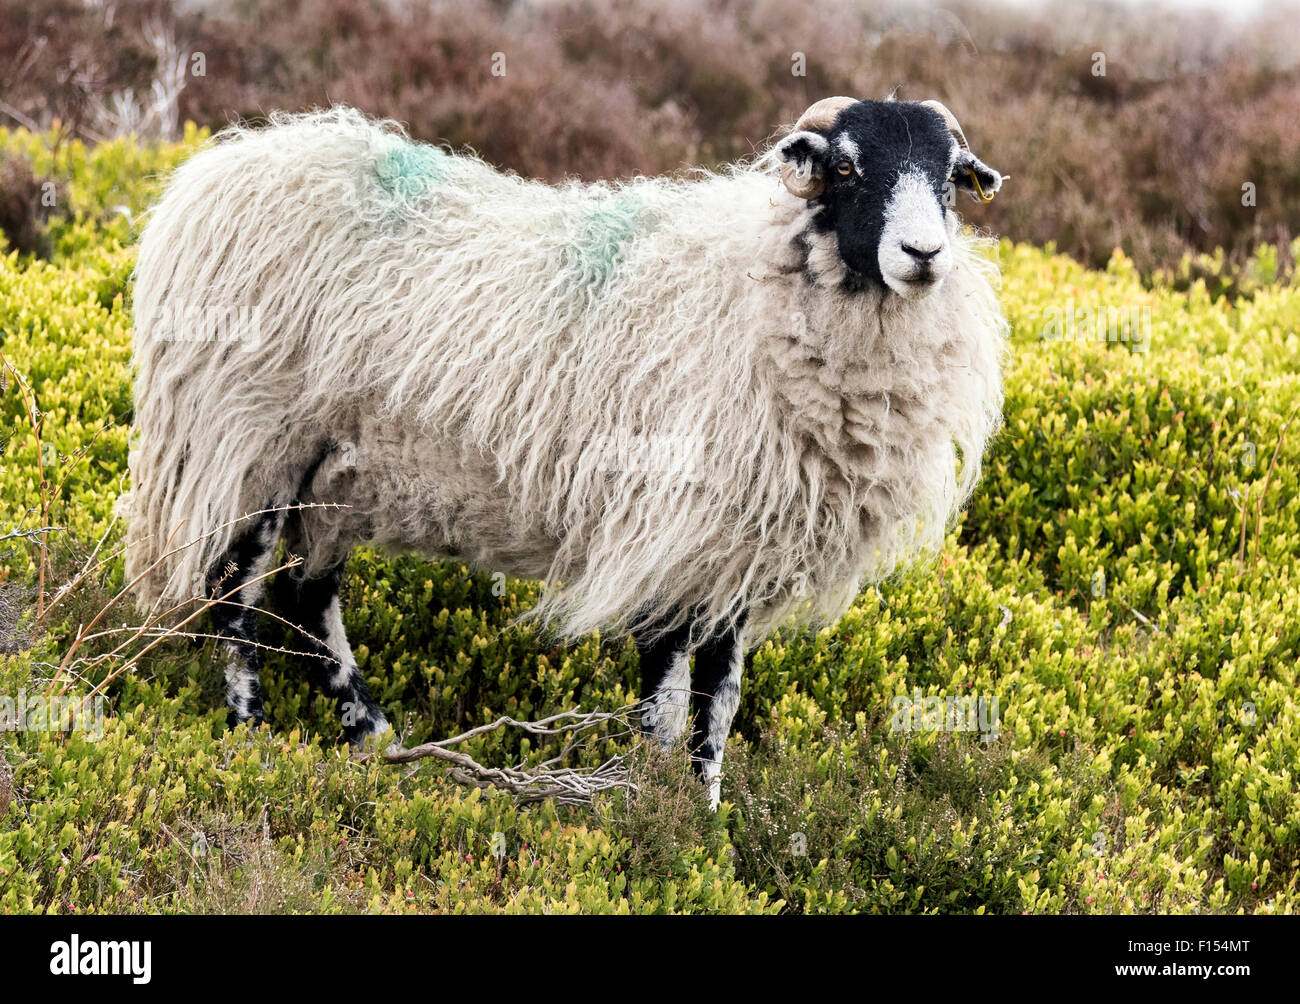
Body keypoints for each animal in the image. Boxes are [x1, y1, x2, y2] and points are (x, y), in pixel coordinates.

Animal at [125, 97, 1007, 803]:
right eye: (847, 168)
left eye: (950, 178)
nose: (924, 256)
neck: (755, 286)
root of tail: (216, 170)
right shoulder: (668, 531)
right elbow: (666, 699)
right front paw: (652, 817)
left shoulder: (734, 547)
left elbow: (719, 701)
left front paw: (708, 815)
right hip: (251, 438)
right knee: (234, 595)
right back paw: (250, 738)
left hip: (335, 469)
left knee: (307, 598)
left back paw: (372, 734)